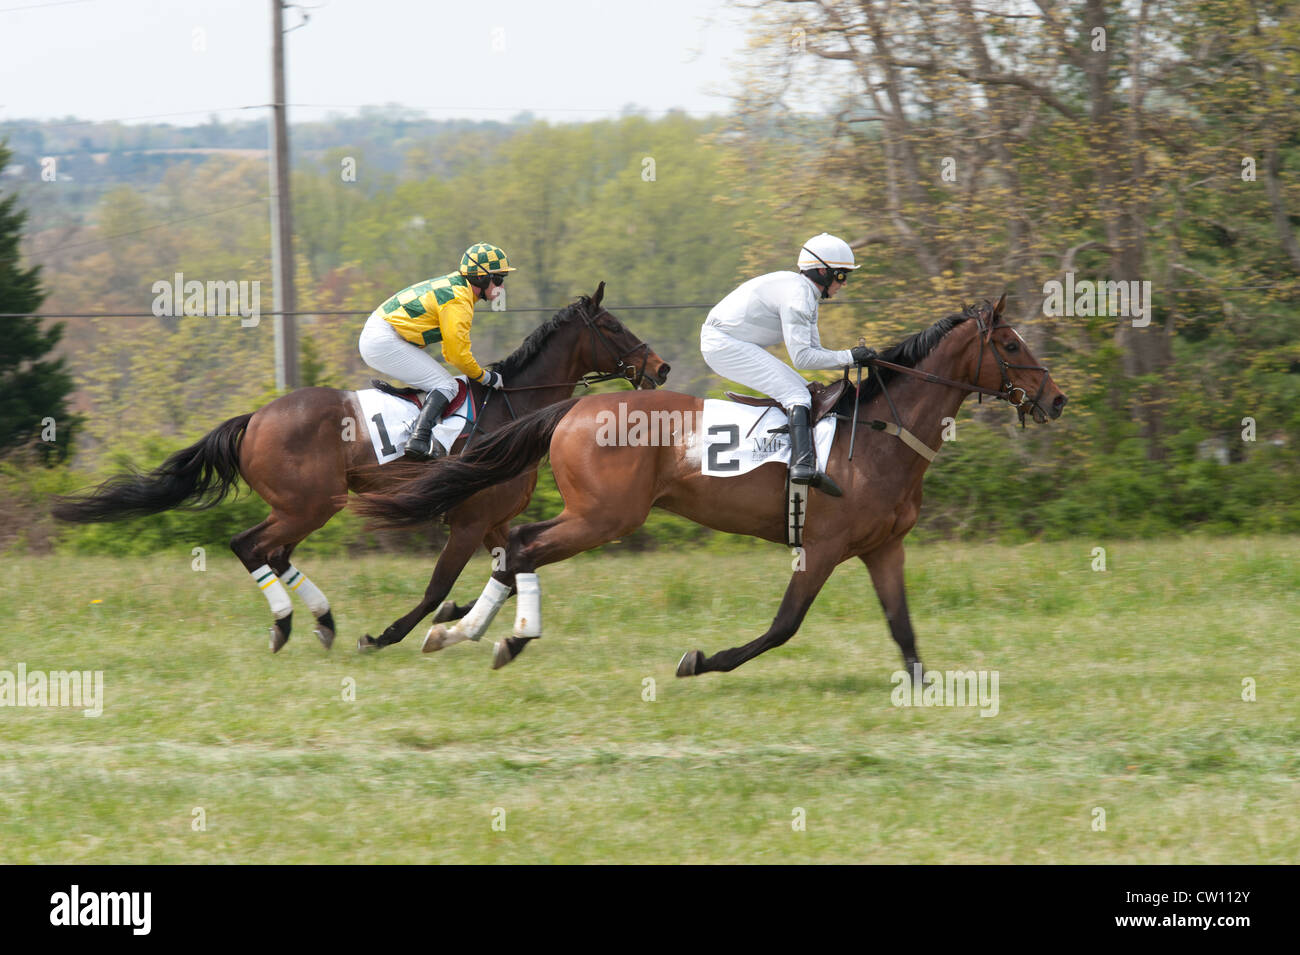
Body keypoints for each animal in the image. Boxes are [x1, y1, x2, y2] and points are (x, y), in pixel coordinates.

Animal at [51, 283, 670, 652]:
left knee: (274, 552)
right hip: (310, 502)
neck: (513, 409)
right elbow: (437, 586)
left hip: (306, 505)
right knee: (250, 545)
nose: (661, 368)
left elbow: (508, 573)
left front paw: (461, 616)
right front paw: (391, 634)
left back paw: (321, 621)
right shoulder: (467, 520)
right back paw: (288, 625)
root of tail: (255, 418)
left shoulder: (493, 519)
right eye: (613, 327)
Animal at [352, 295, 1066, 677]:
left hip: (597, 515)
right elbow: (783, 626)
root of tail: (573, 407)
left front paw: (927, 695)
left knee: (513, 548)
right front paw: (701, 661)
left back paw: (455, 632)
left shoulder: (883, 547)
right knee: (523, 544)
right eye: (1009, 343)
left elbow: (904, 631)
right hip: (605, 516)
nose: (1056, 399)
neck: (882, 435)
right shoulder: (822, 547)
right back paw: (492, 637)